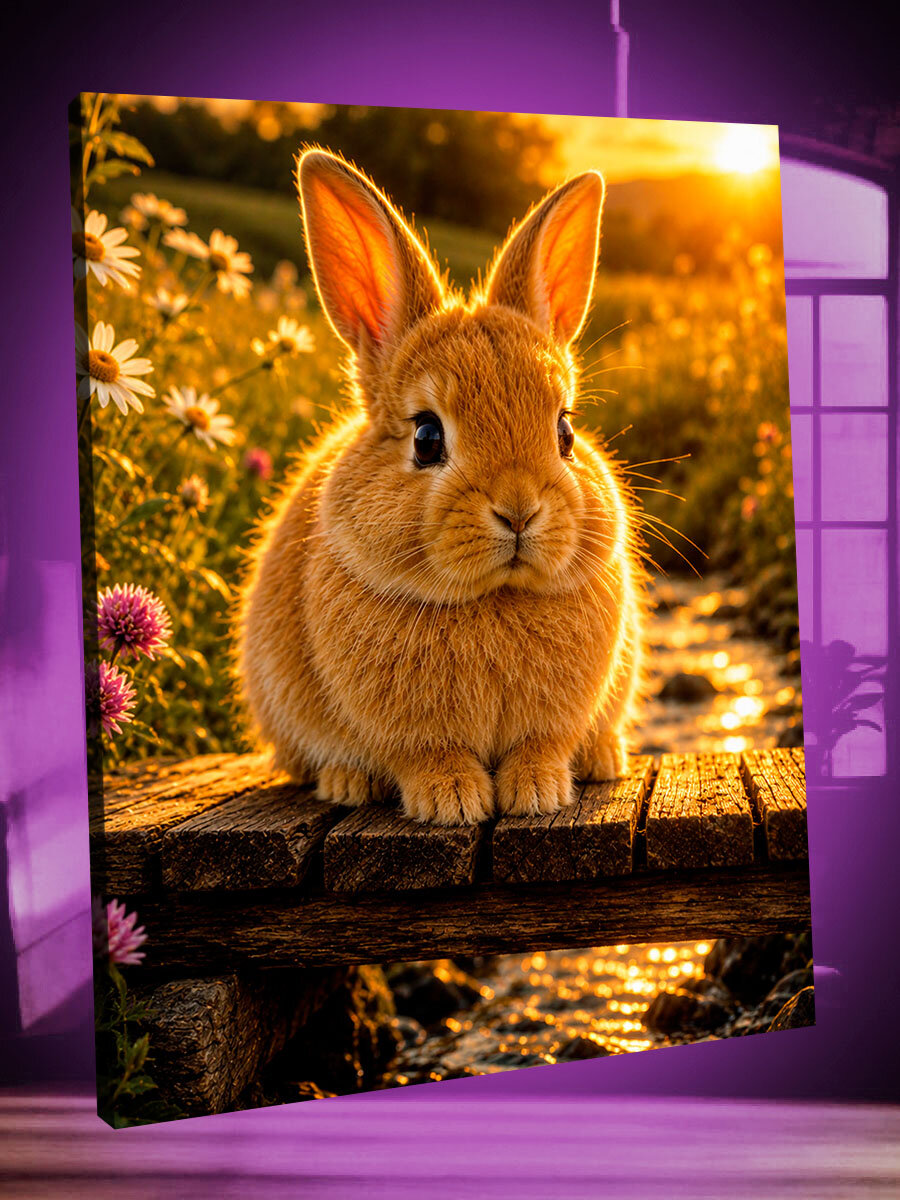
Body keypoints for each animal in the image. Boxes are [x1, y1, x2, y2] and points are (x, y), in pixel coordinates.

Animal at [237, 148, 647, 826]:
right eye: (427, 437)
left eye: (564, 431)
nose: (519, 510)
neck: (493, 598)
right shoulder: (413, 735)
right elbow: (430, 756)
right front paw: (451, 802)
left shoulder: (549, 726)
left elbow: (539, 747)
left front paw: (537, 794)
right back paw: (347, 783)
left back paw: (602, 759)